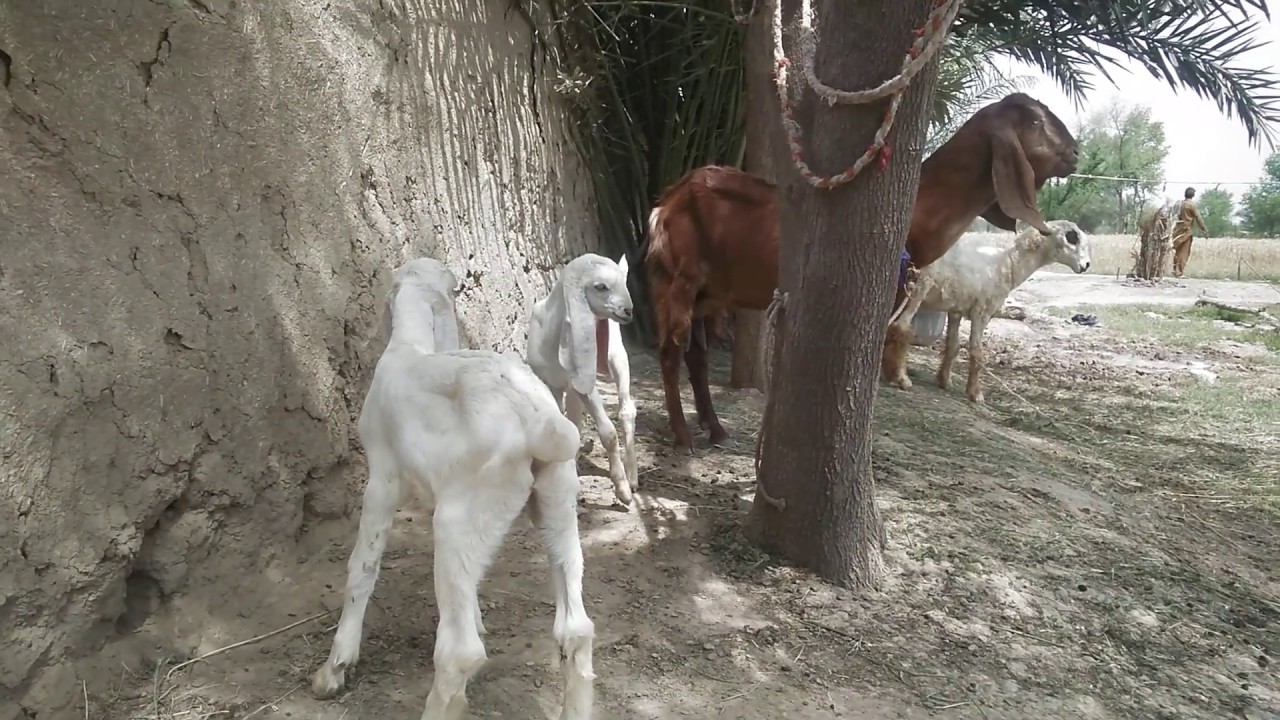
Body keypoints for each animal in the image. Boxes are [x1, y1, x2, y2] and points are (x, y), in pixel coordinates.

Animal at [312, 257, 596, 720]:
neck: (410, 348)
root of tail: (539, 420)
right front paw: (477, 614)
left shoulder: (381, 479)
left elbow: (362, 567)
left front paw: (335, 667)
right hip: (556, 501)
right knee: (576, 629)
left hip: (460, 515)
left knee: (461, 653)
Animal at [527, 253, 638, 506]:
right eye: (601, 286)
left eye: (623, 281)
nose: (628, 310)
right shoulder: (551, 383)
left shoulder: (583, 379)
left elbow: (608, 432)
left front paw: (622, 490)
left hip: (616, 356)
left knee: (627, 410)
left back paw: (632, 477)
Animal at [887, 220, 1092, 403]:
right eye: (1072, 236)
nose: (1087, 265)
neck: (1009, 265)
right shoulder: (982, 312)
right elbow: (977, 353)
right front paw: (975, 394)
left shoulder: (956, 309)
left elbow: (953, 346)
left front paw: (944, 381)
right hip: (919, 288)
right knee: (901, 326)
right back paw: (902, 379)